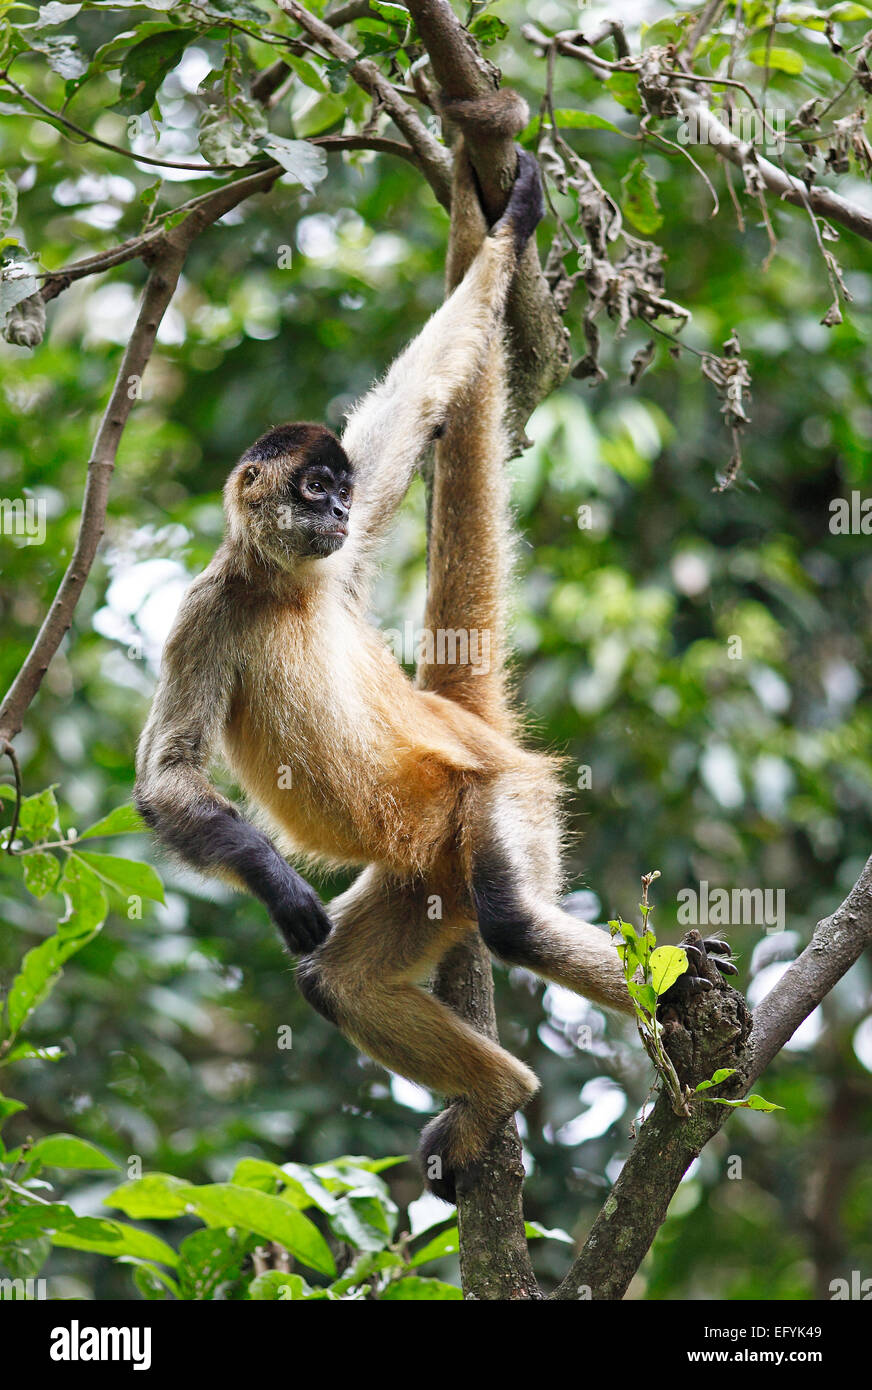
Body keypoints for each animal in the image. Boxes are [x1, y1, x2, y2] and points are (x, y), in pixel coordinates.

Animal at [136, 108, 736, 1203]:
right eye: (313, 490)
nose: (333, 514)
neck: (285, 590)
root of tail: (463, 724)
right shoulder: (207, 609)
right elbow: (168, 780)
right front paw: (279, 887)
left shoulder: (334, 569)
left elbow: (415, 398)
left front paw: (510, 232)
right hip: (426, 875)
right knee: (335, 978)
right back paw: (502, 1091)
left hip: (494, 800)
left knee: (508, 920)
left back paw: (674, 988)